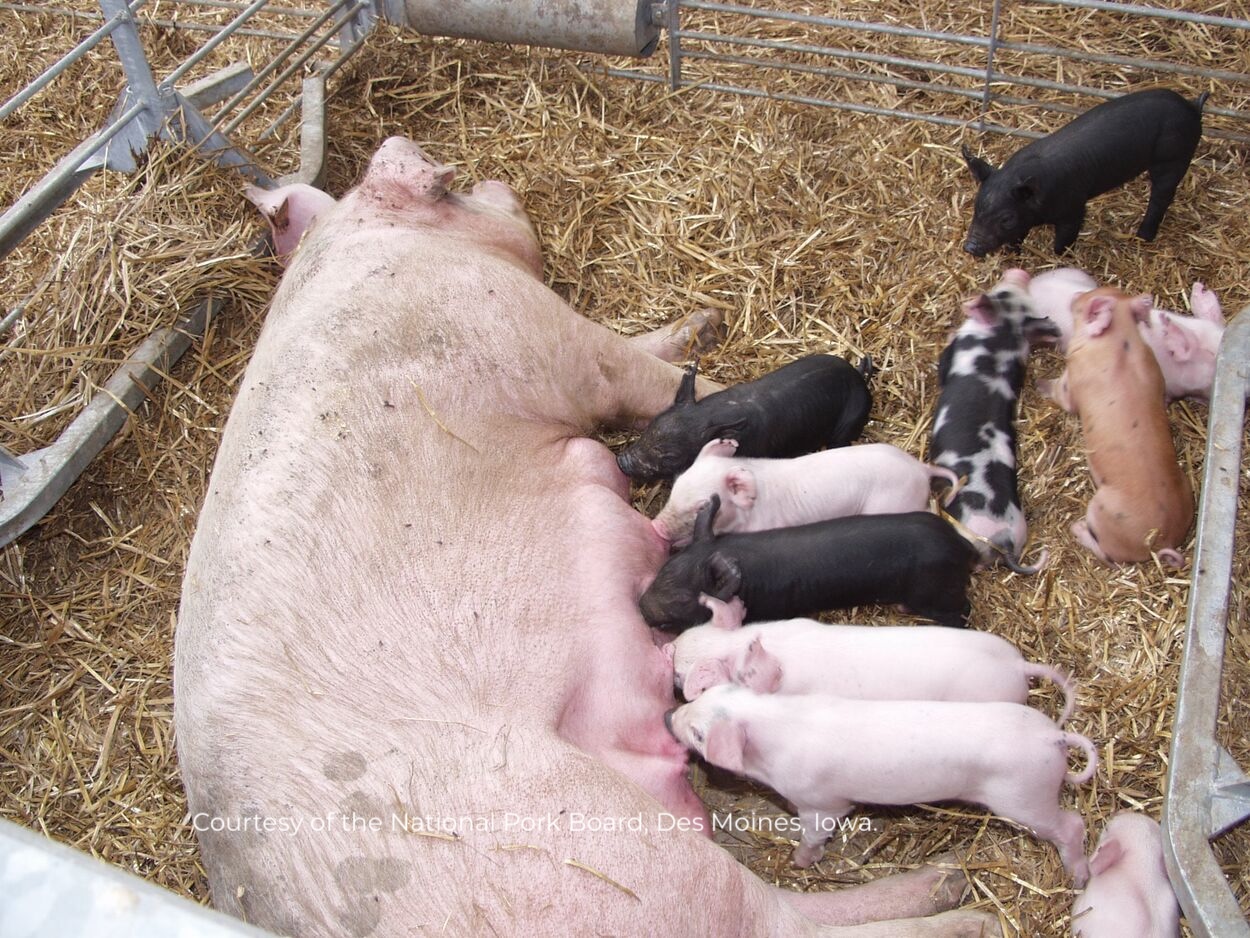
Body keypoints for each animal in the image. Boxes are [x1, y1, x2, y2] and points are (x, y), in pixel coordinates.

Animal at [639, 495, 977, 631]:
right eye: (664, 569)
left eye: (684, 599)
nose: (642, 607)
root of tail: (961, 544)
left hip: (936, 591)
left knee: (963, 610)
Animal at [666, 683, 1097, 883]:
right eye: (701, 696)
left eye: (700, 734)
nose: (669, 716)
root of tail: (1054, 737)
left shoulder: (821, 802)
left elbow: (815, 833)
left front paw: (799, 862)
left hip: (1024, 796)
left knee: (1073, 824)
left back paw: (1079, 877)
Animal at [929, 268, 1059, 574]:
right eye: (1022, 301)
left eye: (1000, 294)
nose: (1020, 272)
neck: (1003, 341)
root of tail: (1005, 541)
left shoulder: (952, 353)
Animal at [961, 88, 1208, 256]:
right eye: (976, 207)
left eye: (1006, 218)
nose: (970, 247)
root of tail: (1192, 107)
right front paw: (1012, 252)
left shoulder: (1074, 207)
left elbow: (1066, 237)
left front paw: (1058, 258)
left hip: (1174, 159)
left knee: (1162, 196)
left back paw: (1143, 237)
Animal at [1045, 287, 1194, 566]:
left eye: (1086, 302)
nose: (1077, 294)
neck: (1121, 341)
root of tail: (1162, 541)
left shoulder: (1074, 376)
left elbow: (1064, 396)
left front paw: (1044, 385)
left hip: (1101, 511)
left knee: (1106, 555)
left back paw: (1077, 529)